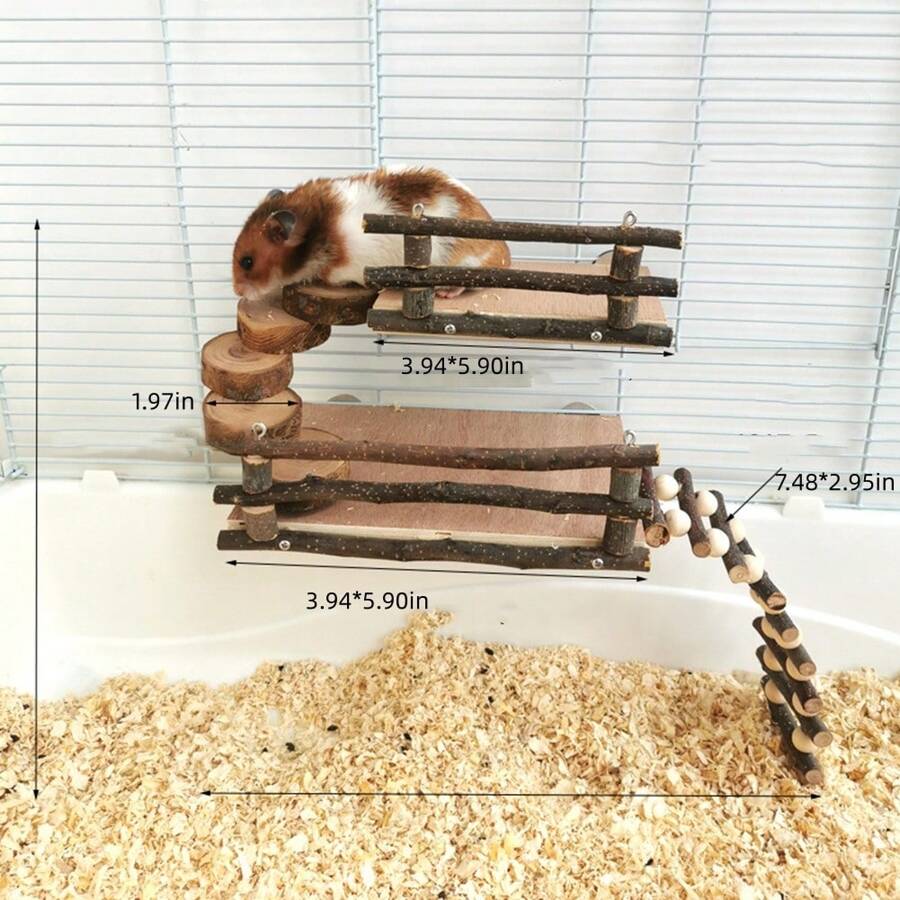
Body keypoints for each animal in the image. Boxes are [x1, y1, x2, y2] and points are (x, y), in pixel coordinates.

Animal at [232, 166, 511, 302]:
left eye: (247, 262)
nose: (237, 292)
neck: (318, 229)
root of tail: (505, 257)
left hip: (465, 262)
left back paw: (445, 293)